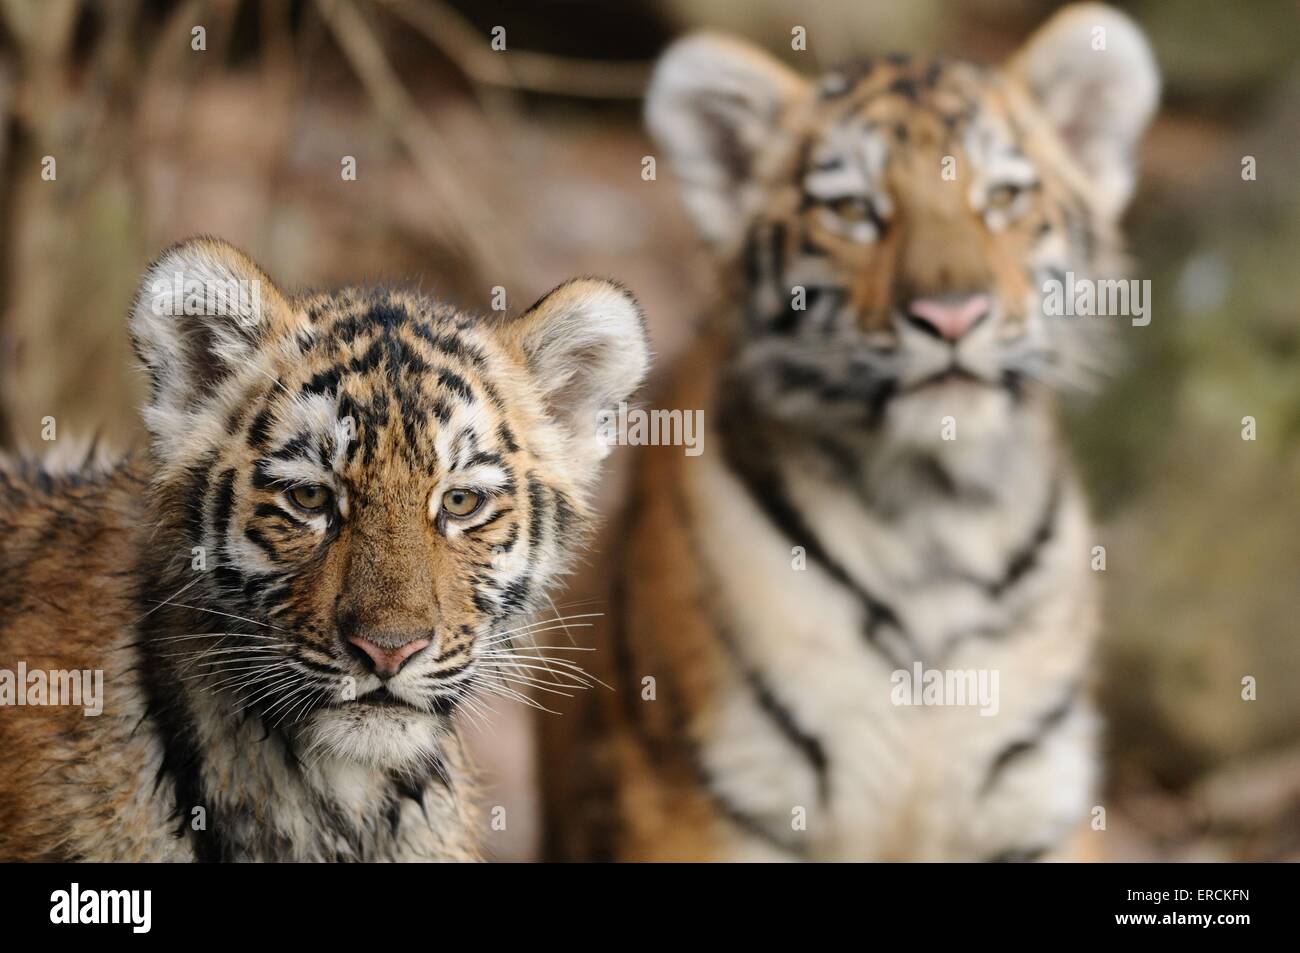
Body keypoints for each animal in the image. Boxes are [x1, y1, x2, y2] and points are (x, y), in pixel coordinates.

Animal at [541, 4, 1158, 861]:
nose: (952, 315)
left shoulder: (1034, 802)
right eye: (854, 211)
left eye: (1003, 198)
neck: (936, 515)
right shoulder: (699, 799)